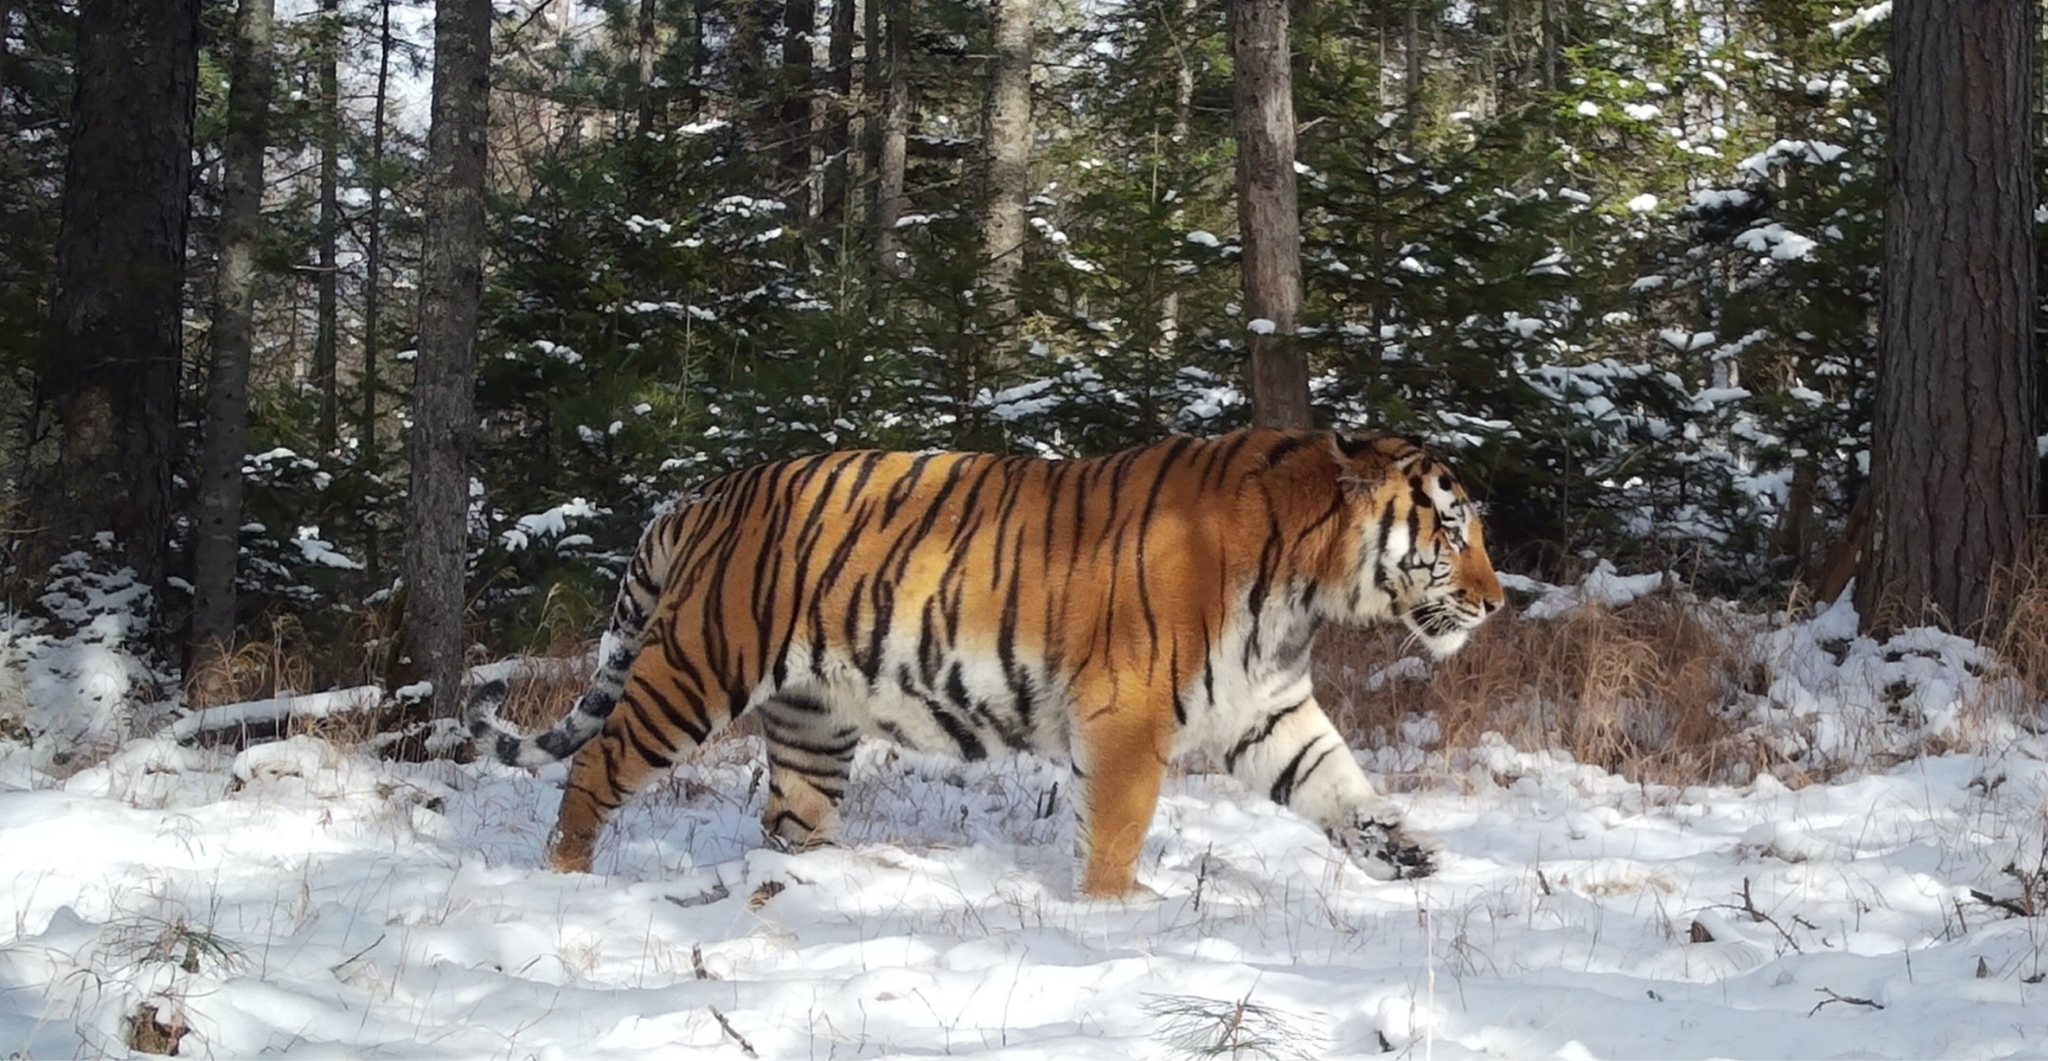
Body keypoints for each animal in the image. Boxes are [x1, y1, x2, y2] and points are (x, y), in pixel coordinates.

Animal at [470, 429, 1504, 897]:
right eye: (1453, 532)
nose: (1498, 601)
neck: (1303, 587)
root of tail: (700, 495)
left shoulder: (1270, 706)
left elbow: (1340, 786)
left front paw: (1405, 856)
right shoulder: (1127, 714)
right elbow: (1118, 824)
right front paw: (1118, 912)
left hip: (811, 722)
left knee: (789, 816)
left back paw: (811, 888)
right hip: (695, 667)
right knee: (598, 762)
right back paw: (566, 874)